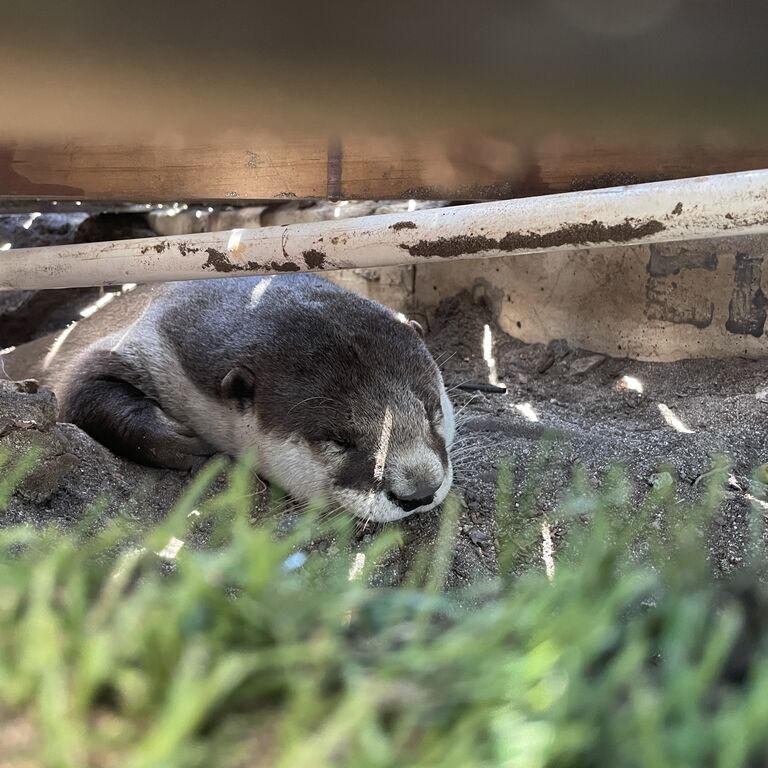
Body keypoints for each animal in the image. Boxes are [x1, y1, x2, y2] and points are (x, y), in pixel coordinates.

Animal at [55, 275, 454, 523]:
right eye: (340, 440)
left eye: (432, 413)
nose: (420, 491)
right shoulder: (143, 340)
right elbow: (74, 388)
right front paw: (186, 443)